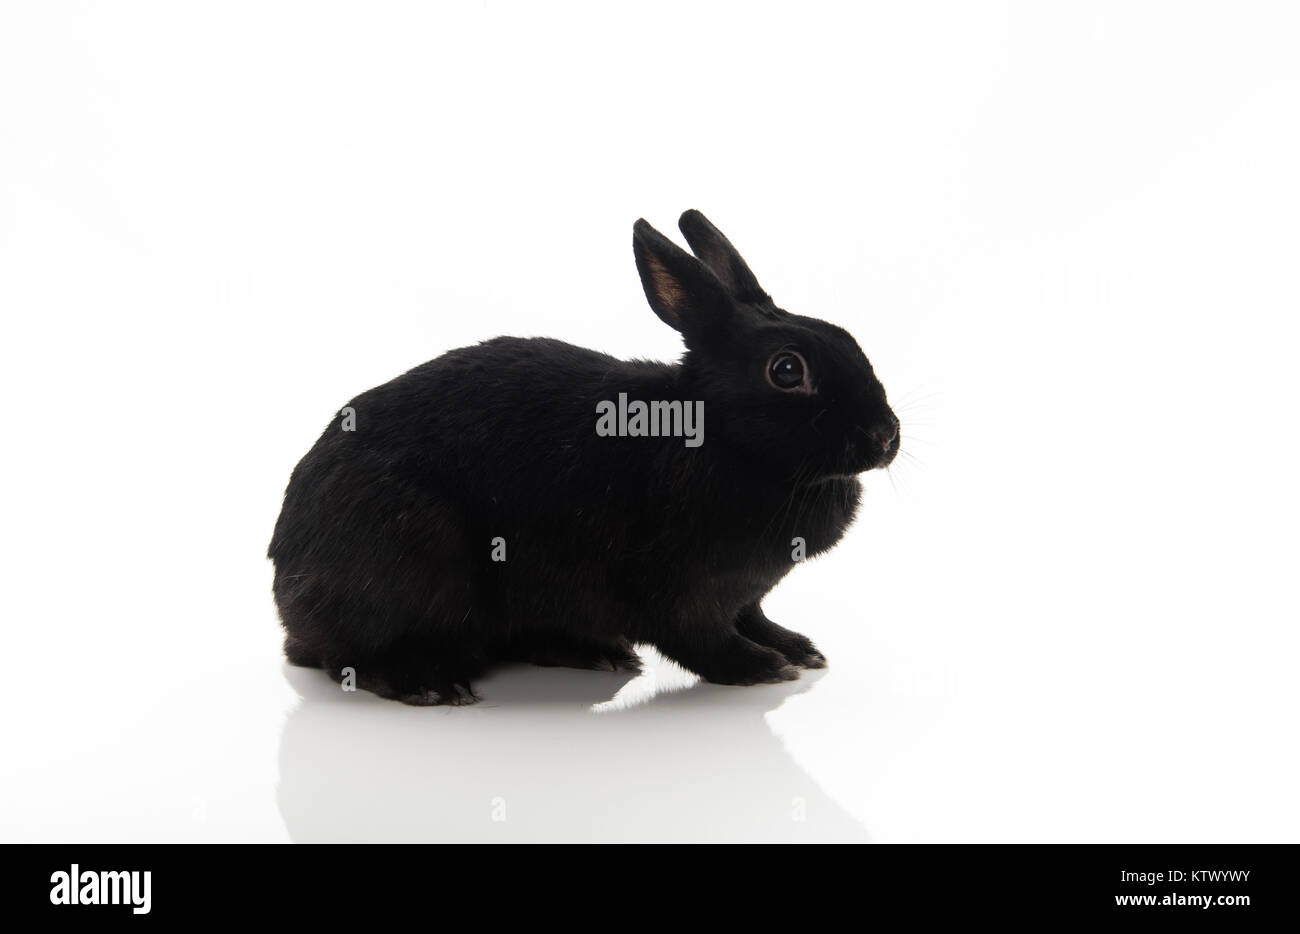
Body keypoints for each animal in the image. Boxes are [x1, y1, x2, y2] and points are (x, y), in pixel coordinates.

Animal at [268, 209, 900, 705]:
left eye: (847, 338)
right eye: (787, 370)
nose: (886, 436)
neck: (714, 437)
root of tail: (288, 581)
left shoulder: (746, 594)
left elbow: (754, 616)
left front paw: (799, 649)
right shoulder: (675, 589)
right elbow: (702, 639)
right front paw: (762, 667)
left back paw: (594, 653)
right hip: (408, 554)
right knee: (348, 656)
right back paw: (429, 684)